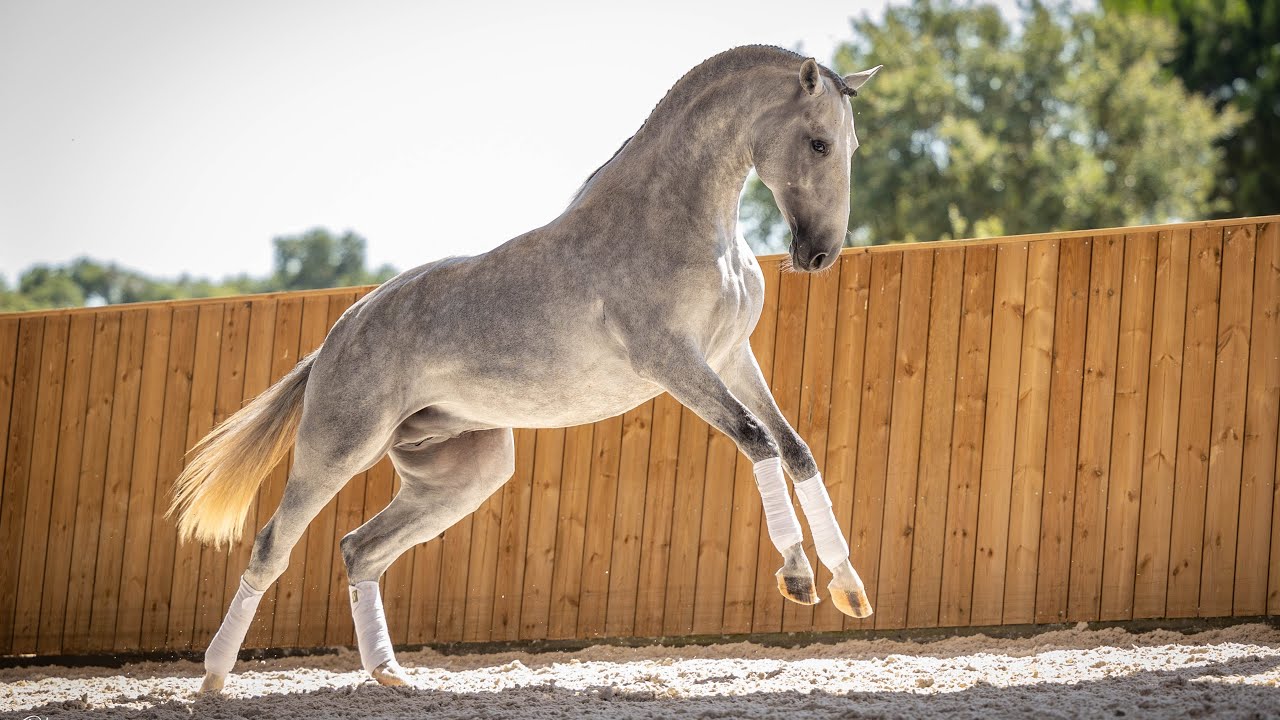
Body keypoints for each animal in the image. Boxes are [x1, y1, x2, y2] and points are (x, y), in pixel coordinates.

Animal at [170, 45, 881, 692]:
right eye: (818, 143)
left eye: (848, 145)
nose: (818, 255)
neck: (679, 226)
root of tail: (335, 338)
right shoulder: (674, 361)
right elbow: (759, 442)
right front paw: (797, 578)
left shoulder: (733, 357)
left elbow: (796, 449)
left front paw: (850, 589)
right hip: (338, 448)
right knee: (273, 545)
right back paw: (213, 679)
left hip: (465, 473)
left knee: (360, 550)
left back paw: (393, 675)